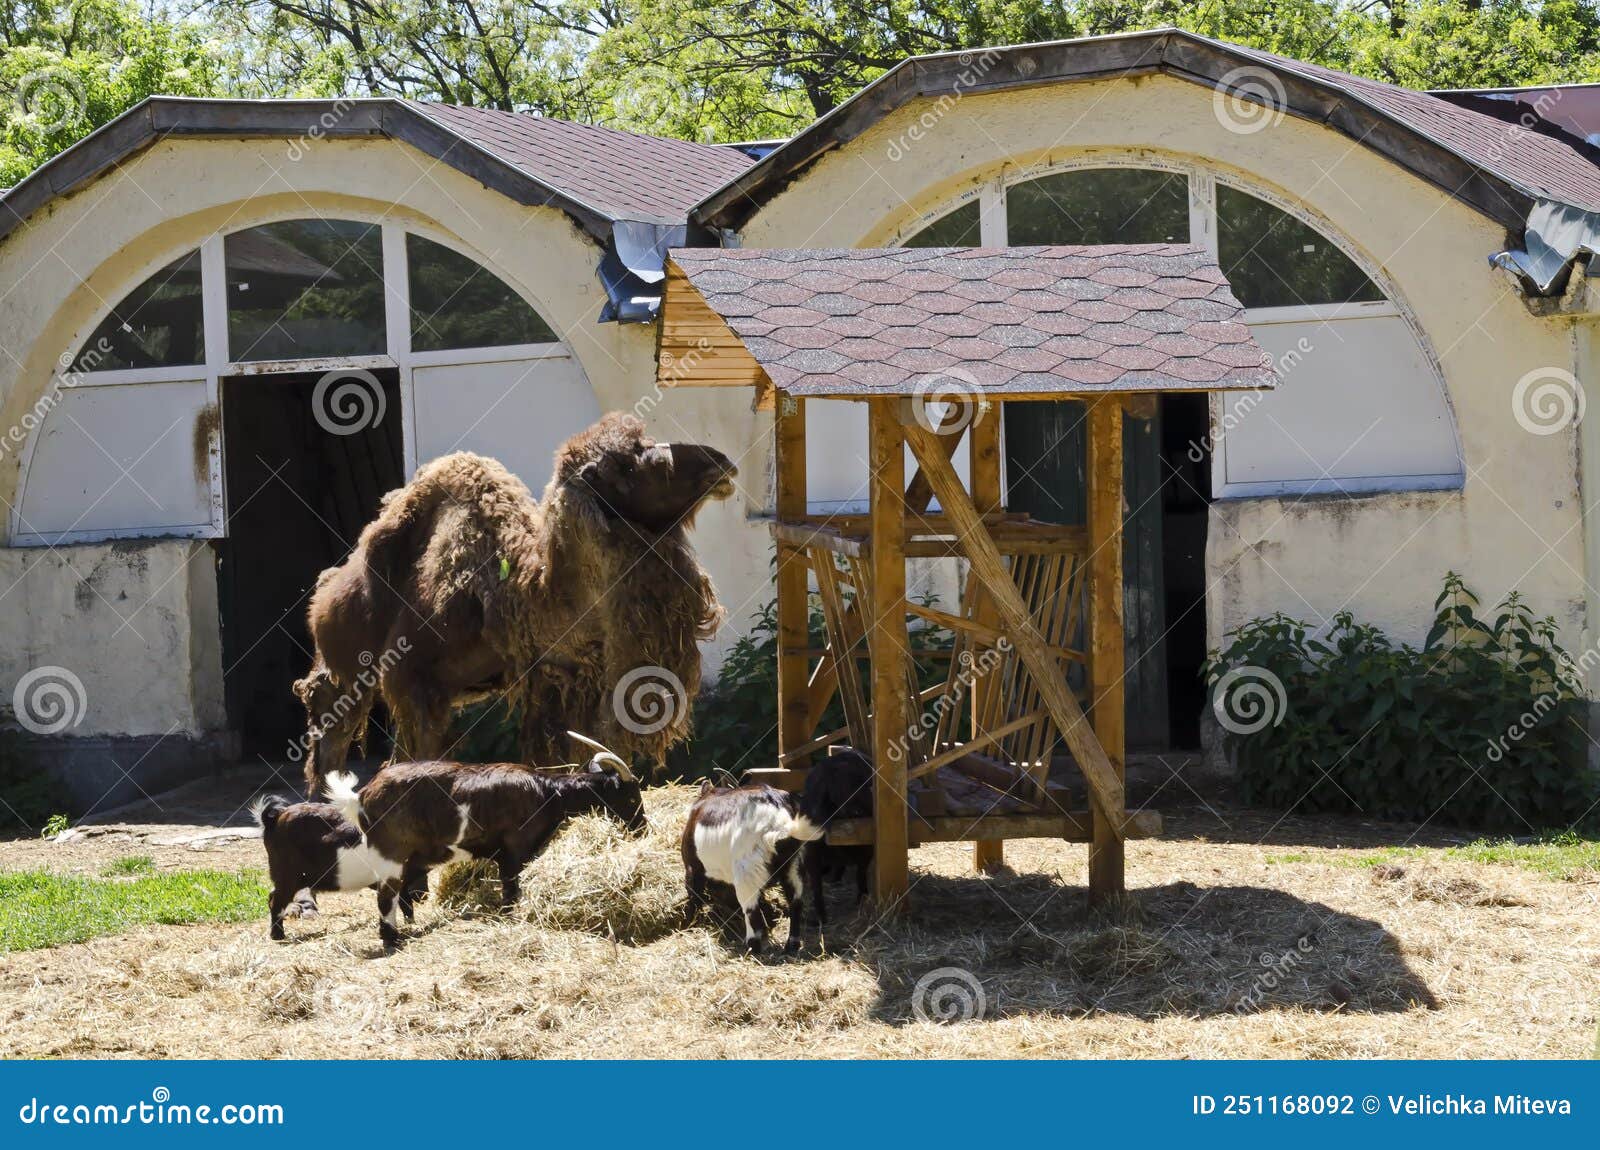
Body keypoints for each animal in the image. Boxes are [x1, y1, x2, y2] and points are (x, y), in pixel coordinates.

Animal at [251, 796, 425, 941]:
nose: (423, 895)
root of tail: (273, 818)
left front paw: (411, 922)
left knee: (272, 895)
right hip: (287, 875)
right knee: (277, 901)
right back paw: (278, 936)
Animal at [293, 412, 734, 796]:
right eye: (626, 466)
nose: (720, 463)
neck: (526, 593)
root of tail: (325, 592)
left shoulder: (562, 685)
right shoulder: (414, 682)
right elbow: (417, 759)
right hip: (347, 674)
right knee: (329, 724)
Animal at [327, 732, 645, 946]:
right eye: (630, 797)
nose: (642, 828)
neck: (547, 792)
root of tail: (361, 796)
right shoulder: (513, 852)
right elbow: (511, 891)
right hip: (391, 853)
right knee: (386, 895)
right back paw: (392, 939)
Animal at [681, 782, 823, 954]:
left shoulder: (692, 868)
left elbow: (694, 898)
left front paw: (687, 925)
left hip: (746, 871)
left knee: (751, 909)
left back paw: (752, 946)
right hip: (793, 867)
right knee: (795, 903)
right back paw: (791, 945)